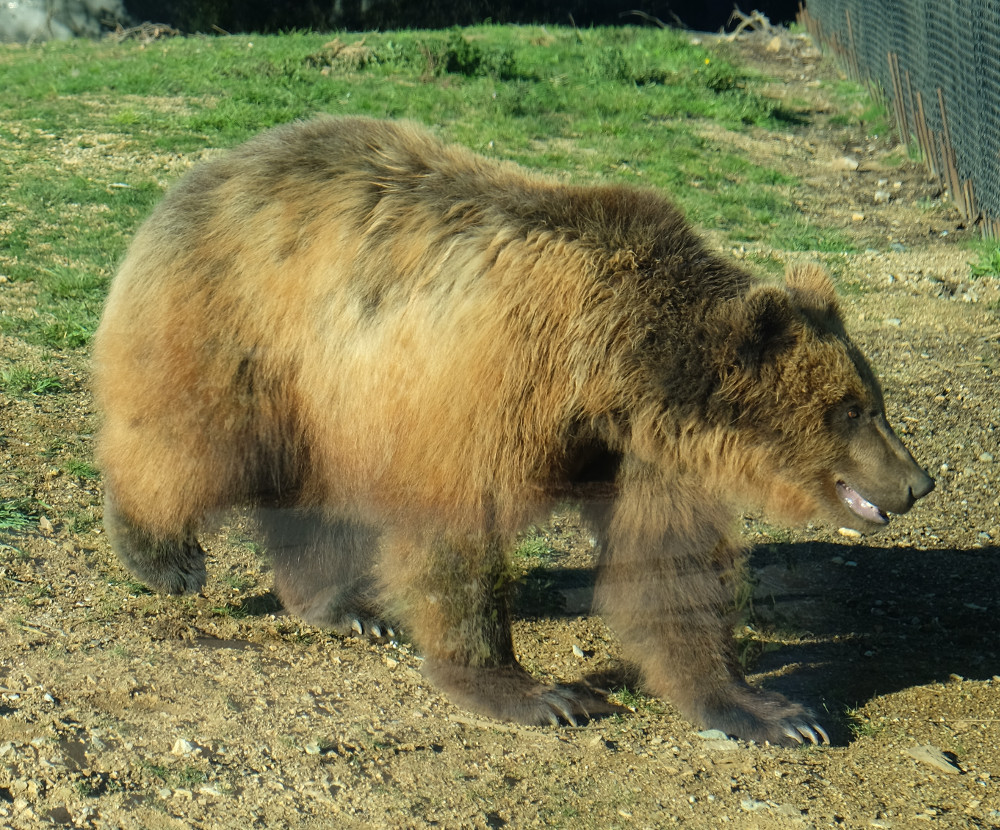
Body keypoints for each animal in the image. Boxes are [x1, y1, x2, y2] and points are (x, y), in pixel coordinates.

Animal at [92, 116, 934, 745]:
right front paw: (535, 692)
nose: (918, 480)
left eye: (873, 398)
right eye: (851, 410)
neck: (610, 367)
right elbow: (458, 532)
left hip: (328, 393)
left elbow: (669, 566)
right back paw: (163, 555)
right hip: (248, 328)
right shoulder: (494, 385)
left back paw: (344, 607)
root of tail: (214, 165)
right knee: (190, 437)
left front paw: (771, 711)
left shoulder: (633, 449)